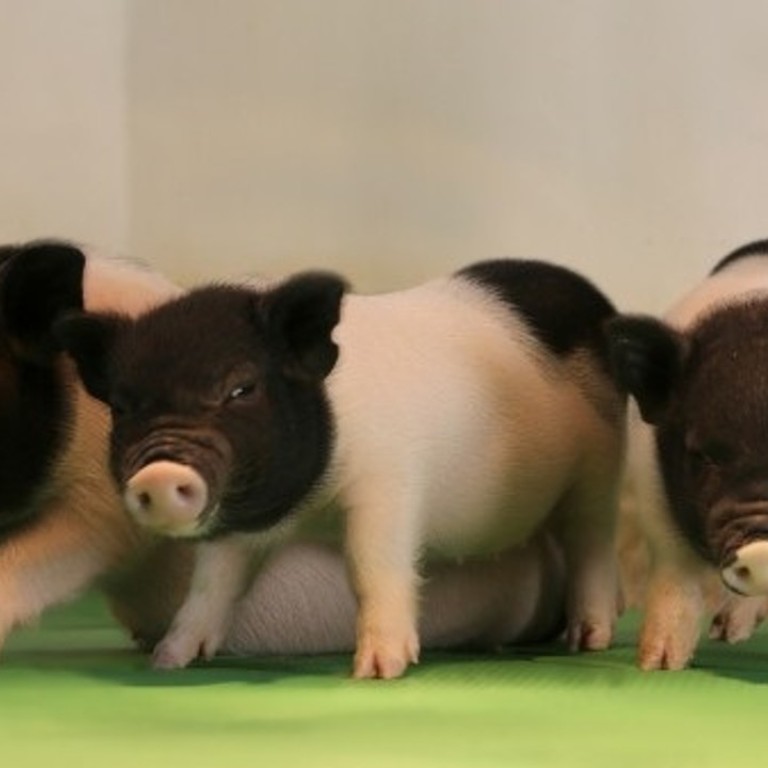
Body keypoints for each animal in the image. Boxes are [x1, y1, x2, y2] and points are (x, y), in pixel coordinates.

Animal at [57, 258, 626, 678]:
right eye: (123, 406)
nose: (157, 472)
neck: (311, 510)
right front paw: (168, 660)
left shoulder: (389, 485)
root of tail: (591, 297)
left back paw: (589, 639)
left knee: (592, 542)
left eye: (241, 388)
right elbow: (213, 583)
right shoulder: (243, 522)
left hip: (600, 468)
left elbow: (372, 566)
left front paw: (376, 670)